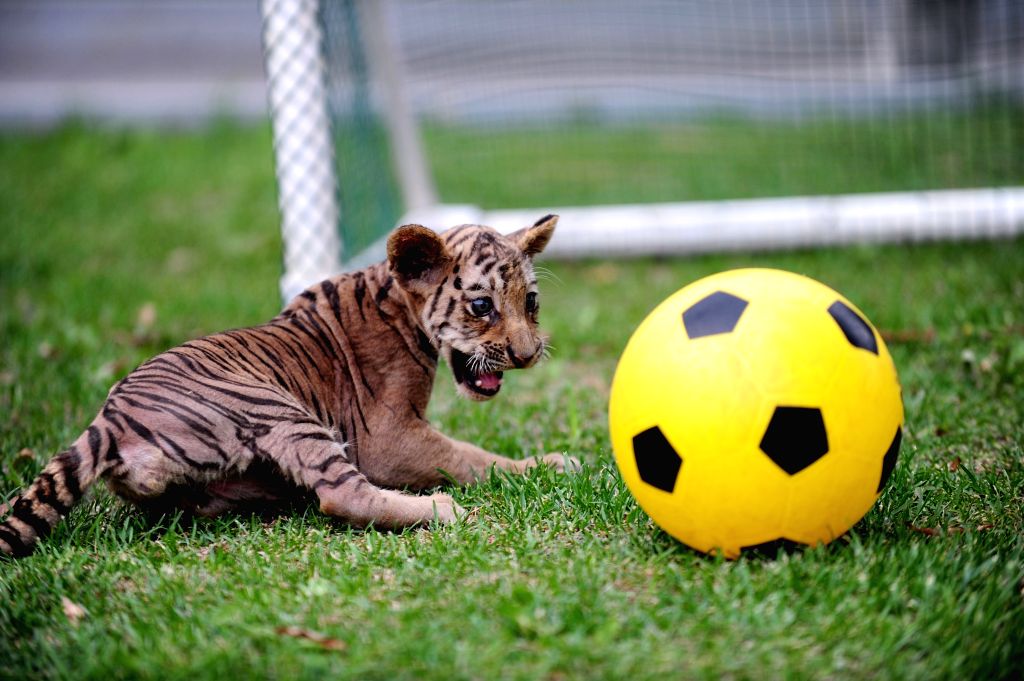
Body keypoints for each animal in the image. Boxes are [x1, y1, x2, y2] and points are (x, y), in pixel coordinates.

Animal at [0, 214, 577, 558]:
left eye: (531, 302)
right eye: (482, 306)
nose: (528, 355)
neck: (399, 303)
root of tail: (109, 420)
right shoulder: (390, 438)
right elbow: (471, 456)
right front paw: (548, 463)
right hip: (281, 411)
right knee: (342, 497)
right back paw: (444, 511)